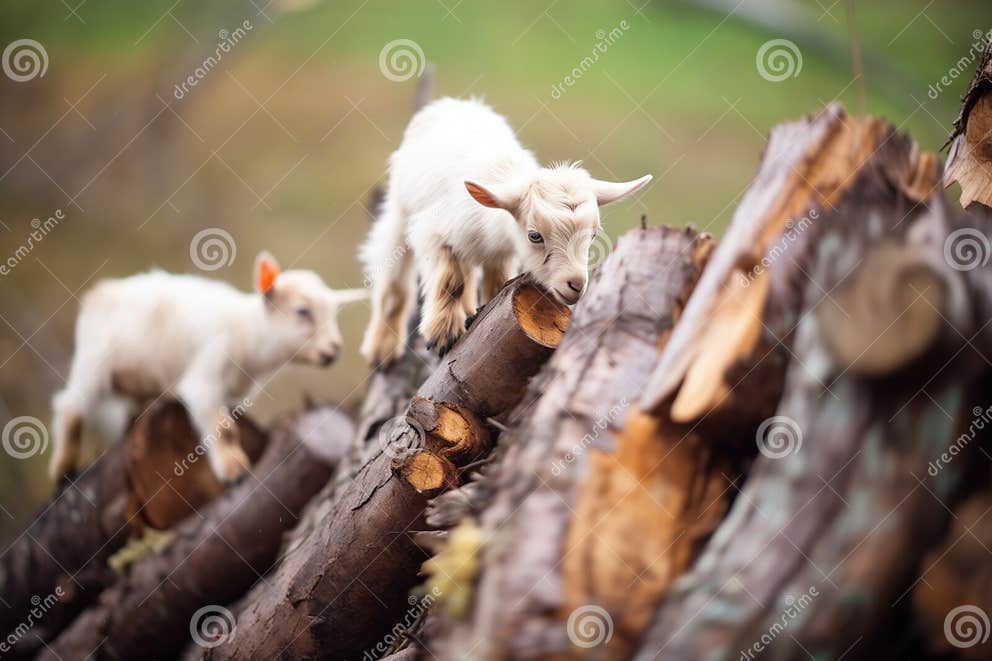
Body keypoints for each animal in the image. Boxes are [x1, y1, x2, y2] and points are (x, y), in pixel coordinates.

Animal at [49, 252, 366, 483]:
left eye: (333, 314)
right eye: (302, 311)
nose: (333, 350)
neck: (248, 335)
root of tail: (99, 292)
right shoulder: (203, 382)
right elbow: (224, 429)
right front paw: (233, 469)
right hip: (92, 363)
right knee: (70, 407)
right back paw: (62, 466)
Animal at [360, 97, 651, 365]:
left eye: (593, 235)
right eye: (535, 235)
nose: (576, 285)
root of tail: (453, 102)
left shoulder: (499, 254)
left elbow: (496, 281)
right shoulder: (432, 231)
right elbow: (451, 281)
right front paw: (443, 334)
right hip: (401, 207)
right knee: (394, 278)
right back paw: (383, 347)